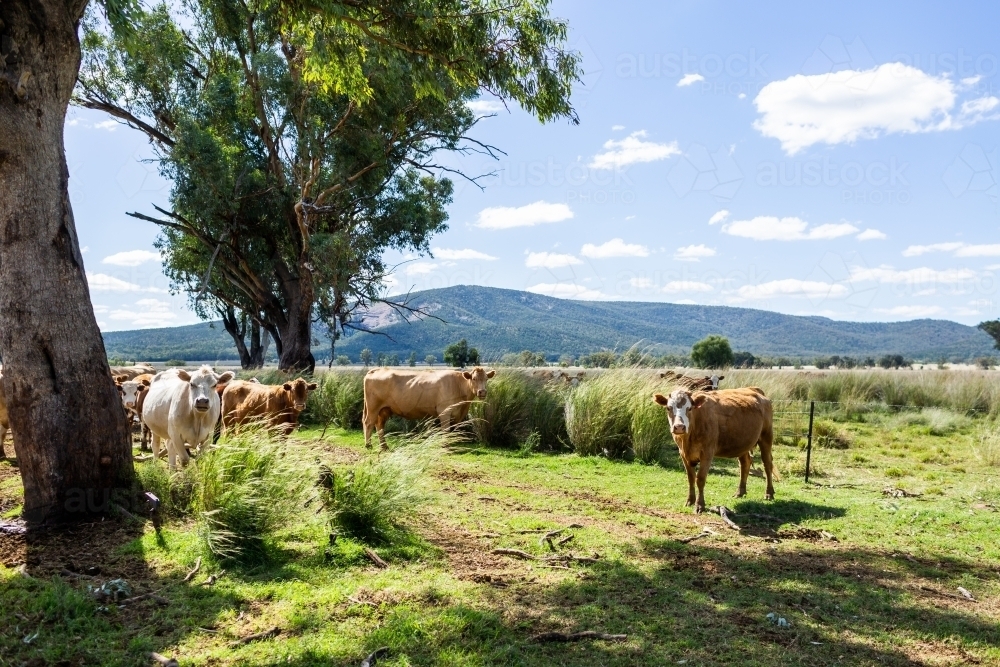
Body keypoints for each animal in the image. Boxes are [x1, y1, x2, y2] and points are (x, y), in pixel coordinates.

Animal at [362, 367, 495, 449]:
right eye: (474, 378)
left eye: (486, 379)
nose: (482, 392)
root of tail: (377, 369)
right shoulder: (444, 412)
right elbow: (446, 430)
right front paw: (445, 446)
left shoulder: (458, 415)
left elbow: (453, 430)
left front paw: (451, 445)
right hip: (373, 407)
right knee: (368, 423)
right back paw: (368, 445)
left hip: (385, 409)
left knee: (379, 425)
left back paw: (384, 447)